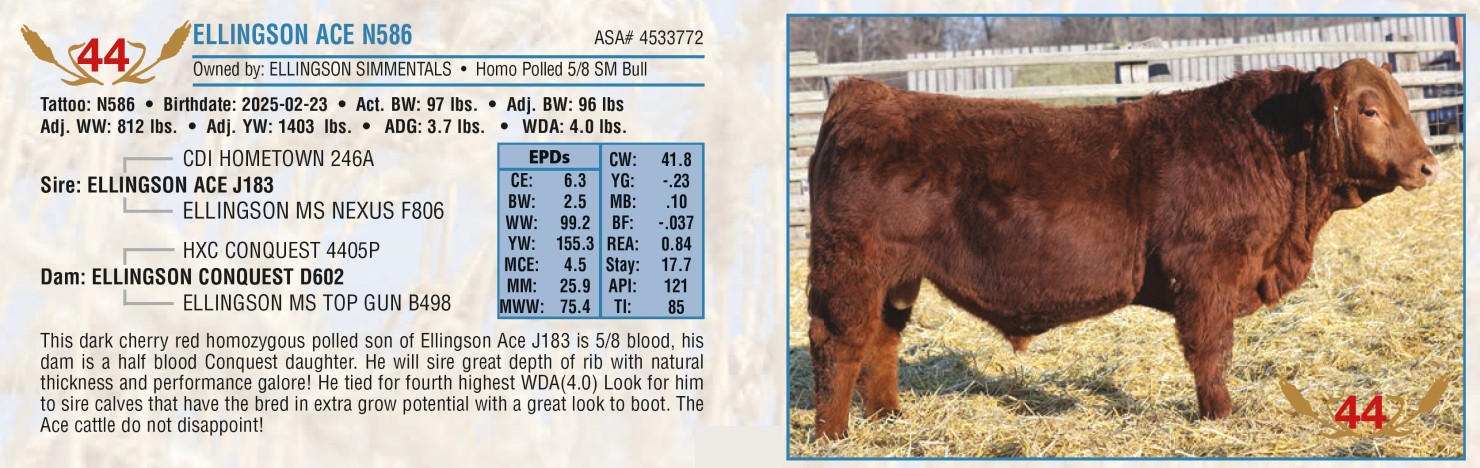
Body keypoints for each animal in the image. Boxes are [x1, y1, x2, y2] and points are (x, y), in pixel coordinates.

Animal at [805, 58, 1441, 439]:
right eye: (1368, 109)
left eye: (1403, 103)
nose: (1429, 166)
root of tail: (865, 93)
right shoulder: (1206, 275)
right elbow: (1210, 352)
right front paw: (1219, 417)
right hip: (852, 265)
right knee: (839, 342)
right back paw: (833, 433)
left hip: (896, 275)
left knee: (883, 339)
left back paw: (890, 418)